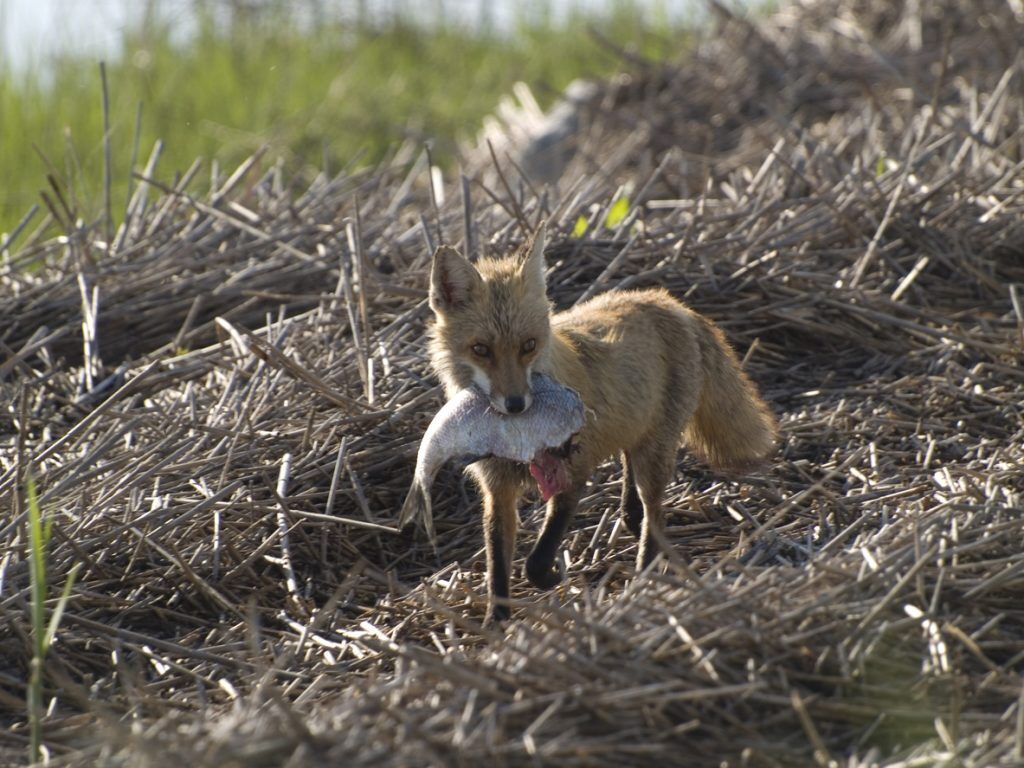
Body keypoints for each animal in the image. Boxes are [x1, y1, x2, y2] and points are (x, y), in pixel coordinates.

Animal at [424, 222, 777, 623]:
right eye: (481, 349)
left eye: (529, 345)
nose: (515, 405)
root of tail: (670, 302)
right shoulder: (496, 490)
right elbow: (497, 563)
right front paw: (495, 622)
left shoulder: (574, 473)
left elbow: (536, 559)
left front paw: (549, 577)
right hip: (638, 432)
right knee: (632, 475)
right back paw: (631, 519)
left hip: (657, 451)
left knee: (655, 514)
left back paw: (644, 574)